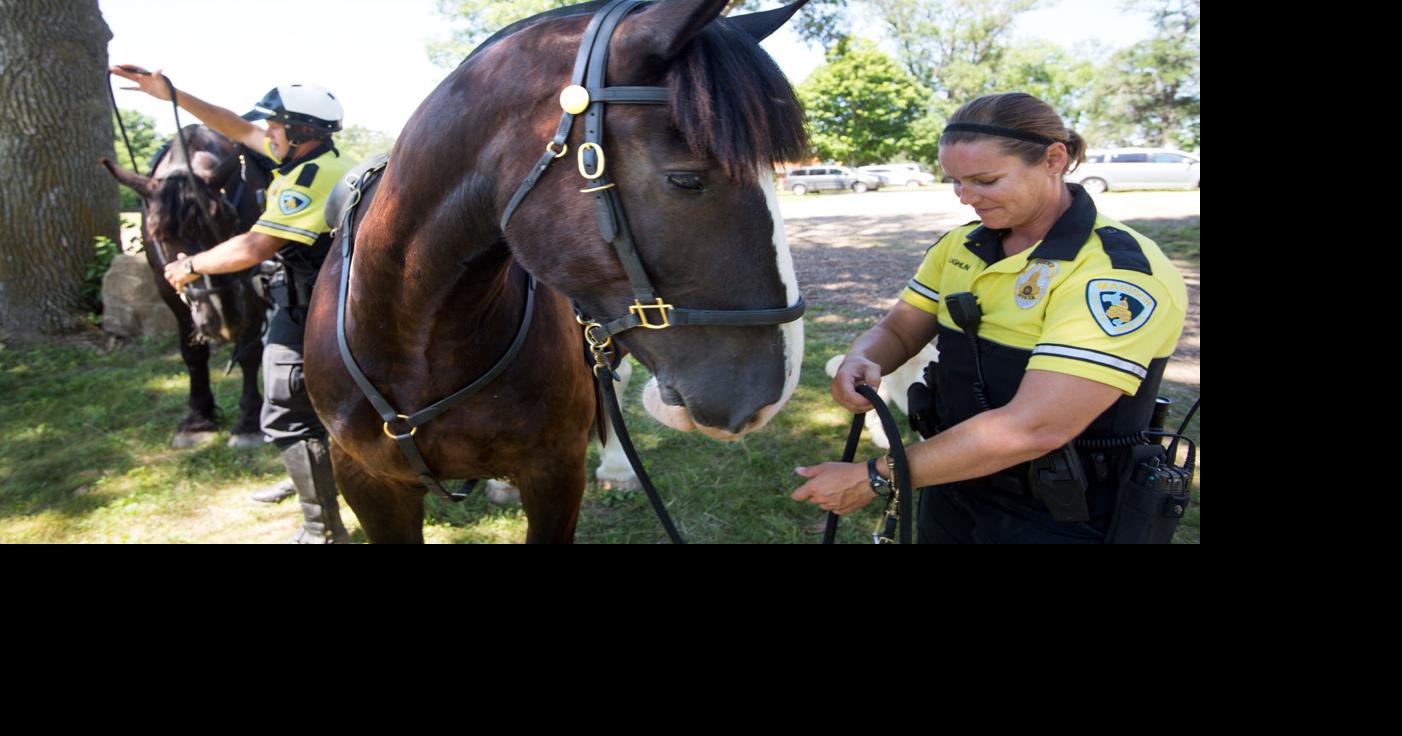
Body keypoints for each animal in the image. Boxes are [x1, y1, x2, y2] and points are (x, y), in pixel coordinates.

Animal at [102, 125, 272, 449]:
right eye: (160, 234)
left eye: (231, 219)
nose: (221, 318)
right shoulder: (167, 288)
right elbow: (192, 354)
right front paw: (198, 419)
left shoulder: (250, 283)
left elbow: (249, 351)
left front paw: (248, 421)